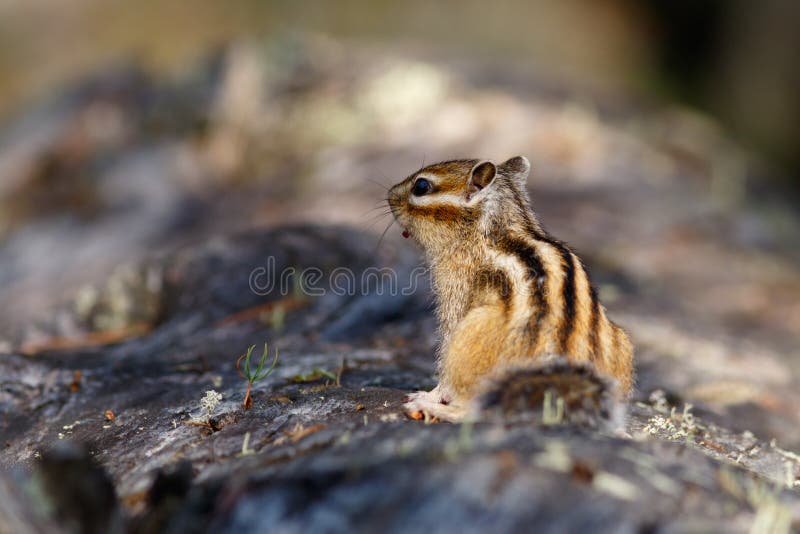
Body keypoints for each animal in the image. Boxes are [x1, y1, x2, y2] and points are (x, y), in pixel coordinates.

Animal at [387, 156, 634, 423]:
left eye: (421, 186)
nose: (389, 195)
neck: (496, 228)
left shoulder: (455, 292)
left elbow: (444, 352)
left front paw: (431, 394)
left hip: (471, 336)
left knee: (470, 409)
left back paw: (431, 407)